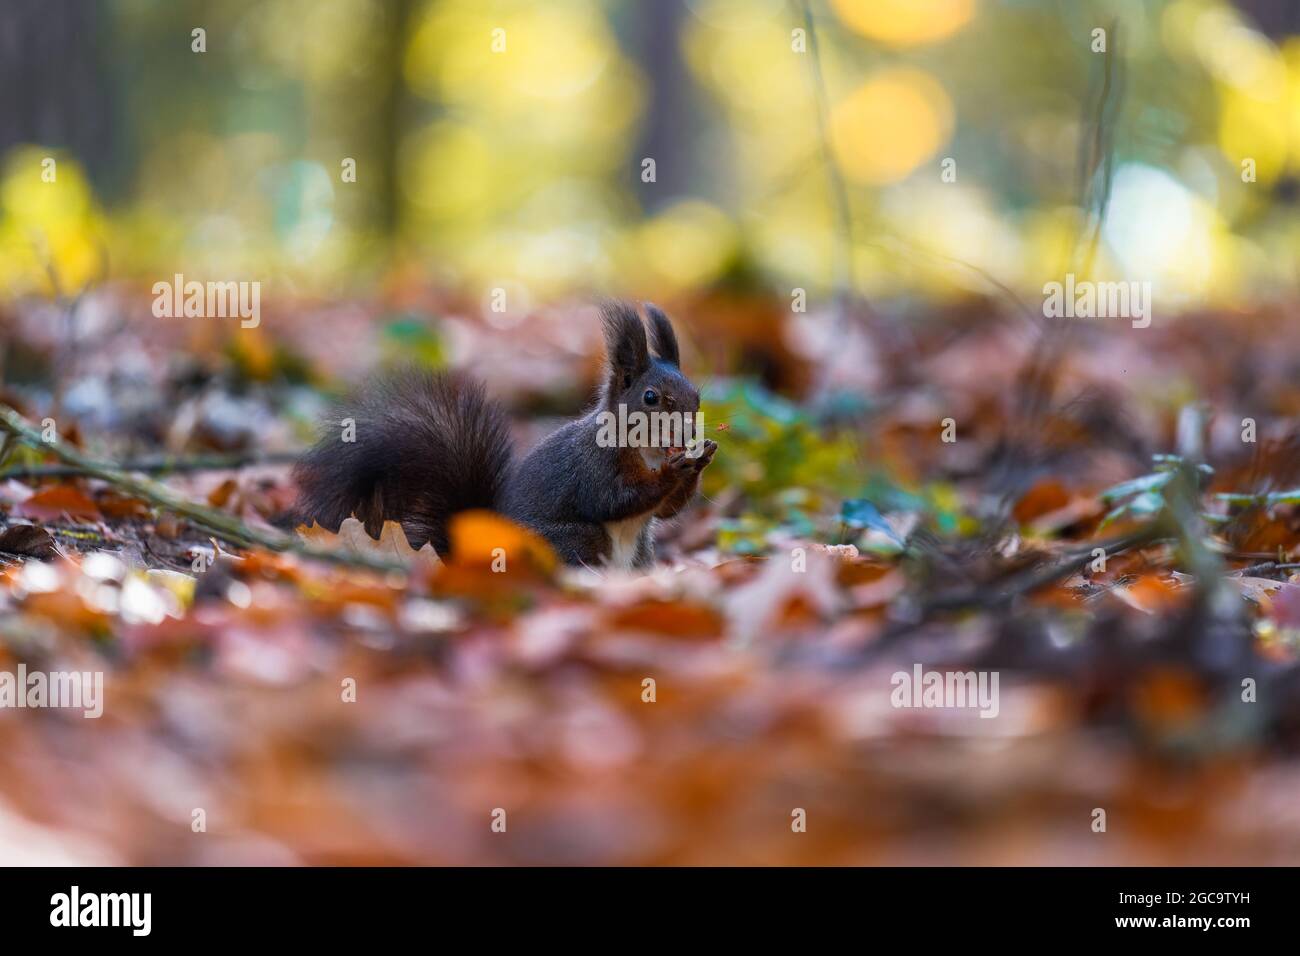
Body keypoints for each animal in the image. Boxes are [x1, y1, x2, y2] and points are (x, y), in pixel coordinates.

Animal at [292, 301, 718, 569]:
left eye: (696, 396)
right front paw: (675, 470)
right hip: (574, 539)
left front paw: (701, 458)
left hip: (641, 551)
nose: (690, 430)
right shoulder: (593, 465)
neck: (646, 451)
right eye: (651, 398)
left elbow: (665, 511)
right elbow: (614, 499)